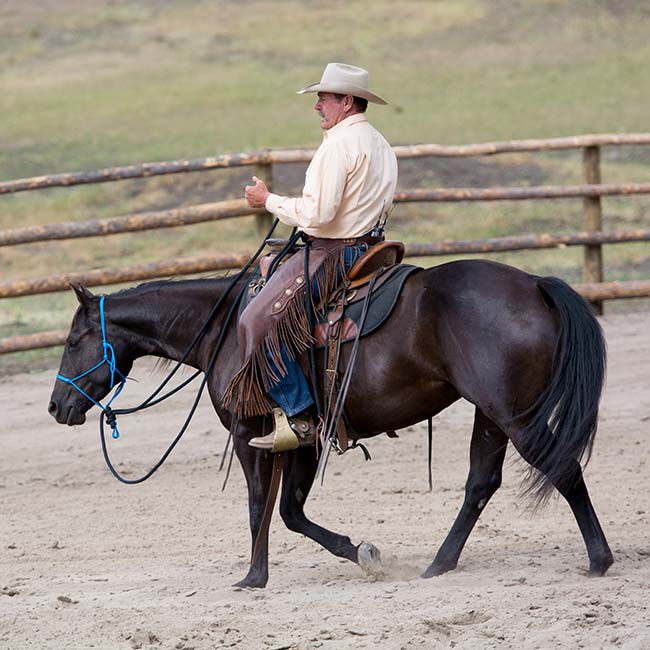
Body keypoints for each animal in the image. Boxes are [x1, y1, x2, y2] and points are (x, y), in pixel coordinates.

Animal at [47, 259, 613, 588]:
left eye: (73, 341)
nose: (56, 406)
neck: (225, 329)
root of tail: (535, 284)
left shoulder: (248, 434)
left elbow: (259, 507)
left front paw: (253, 577)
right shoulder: (300, 440)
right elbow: (290, 512)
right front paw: (361, 552)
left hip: (514, 414)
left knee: (561, 469)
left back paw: (599, 559)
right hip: (491, 414)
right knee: (481, 482)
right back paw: (439, 564)